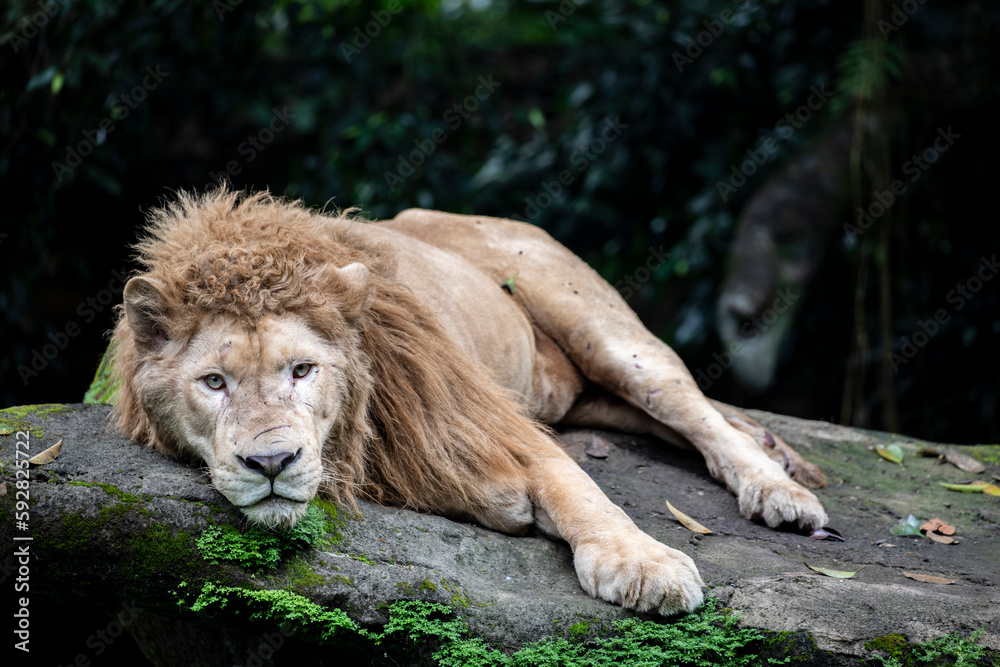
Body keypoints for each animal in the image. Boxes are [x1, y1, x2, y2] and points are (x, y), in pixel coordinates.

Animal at [110, 188, 828, 616]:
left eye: (302, 370)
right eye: (214, 383)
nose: (271, 463)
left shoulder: (485, 419)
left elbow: (580, 489)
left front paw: (643, 565)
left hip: (603, 332)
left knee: (697, 410)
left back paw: (781, 491)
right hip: (573, 393)